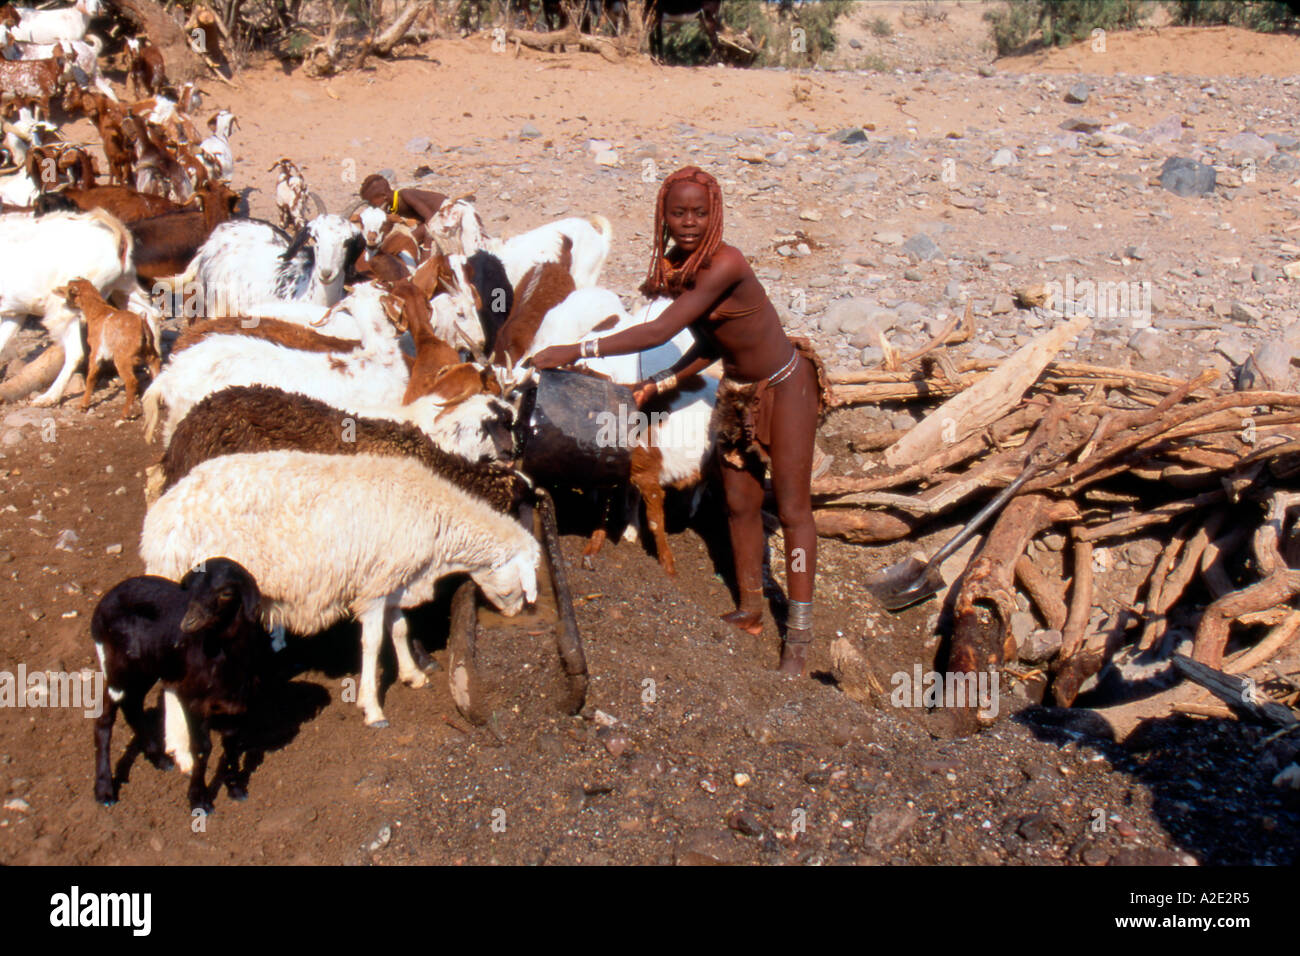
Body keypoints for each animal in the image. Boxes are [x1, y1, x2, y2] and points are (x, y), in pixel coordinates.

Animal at [0, 208, 156, 406]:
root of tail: (118, 236)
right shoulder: (14, 313)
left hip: (68, 306)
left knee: (77, 352)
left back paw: (49, 397)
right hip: (125, 287)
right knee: (150, 315)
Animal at [56, 278, 160, 417]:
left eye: (68, 291)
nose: (65, 304)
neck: (98, 312)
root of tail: (142, 322)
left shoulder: (96, 352)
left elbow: (91, 378)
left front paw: (83, 406)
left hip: (122, 358)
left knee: (131, 381)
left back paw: (125, 413)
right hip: (149, 352)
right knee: (156, 367)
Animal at [92, 557, 265, 812]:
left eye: (226, 593)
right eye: (190, 590)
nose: (188, 623)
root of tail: (104, 602)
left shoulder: (237, 704)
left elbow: (231, 743)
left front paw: (235, 788)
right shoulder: (191, 697)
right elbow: (202, 748)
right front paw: (199, 798)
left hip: (147, 667)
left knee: (133, 705)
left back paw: (159, 759)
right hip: (115, 667)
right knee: (104, 720)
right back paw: (104, 790)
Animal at [142, 450, 541, 757]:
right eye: (522, 580)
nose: (515, 613)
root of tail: (157, 523)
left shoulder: (392, 580)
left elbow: (399, 629)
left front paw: (412, 675)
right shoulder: (375, 586)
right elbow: (373, 643)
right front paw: (372, 708)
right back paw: (180, 748)